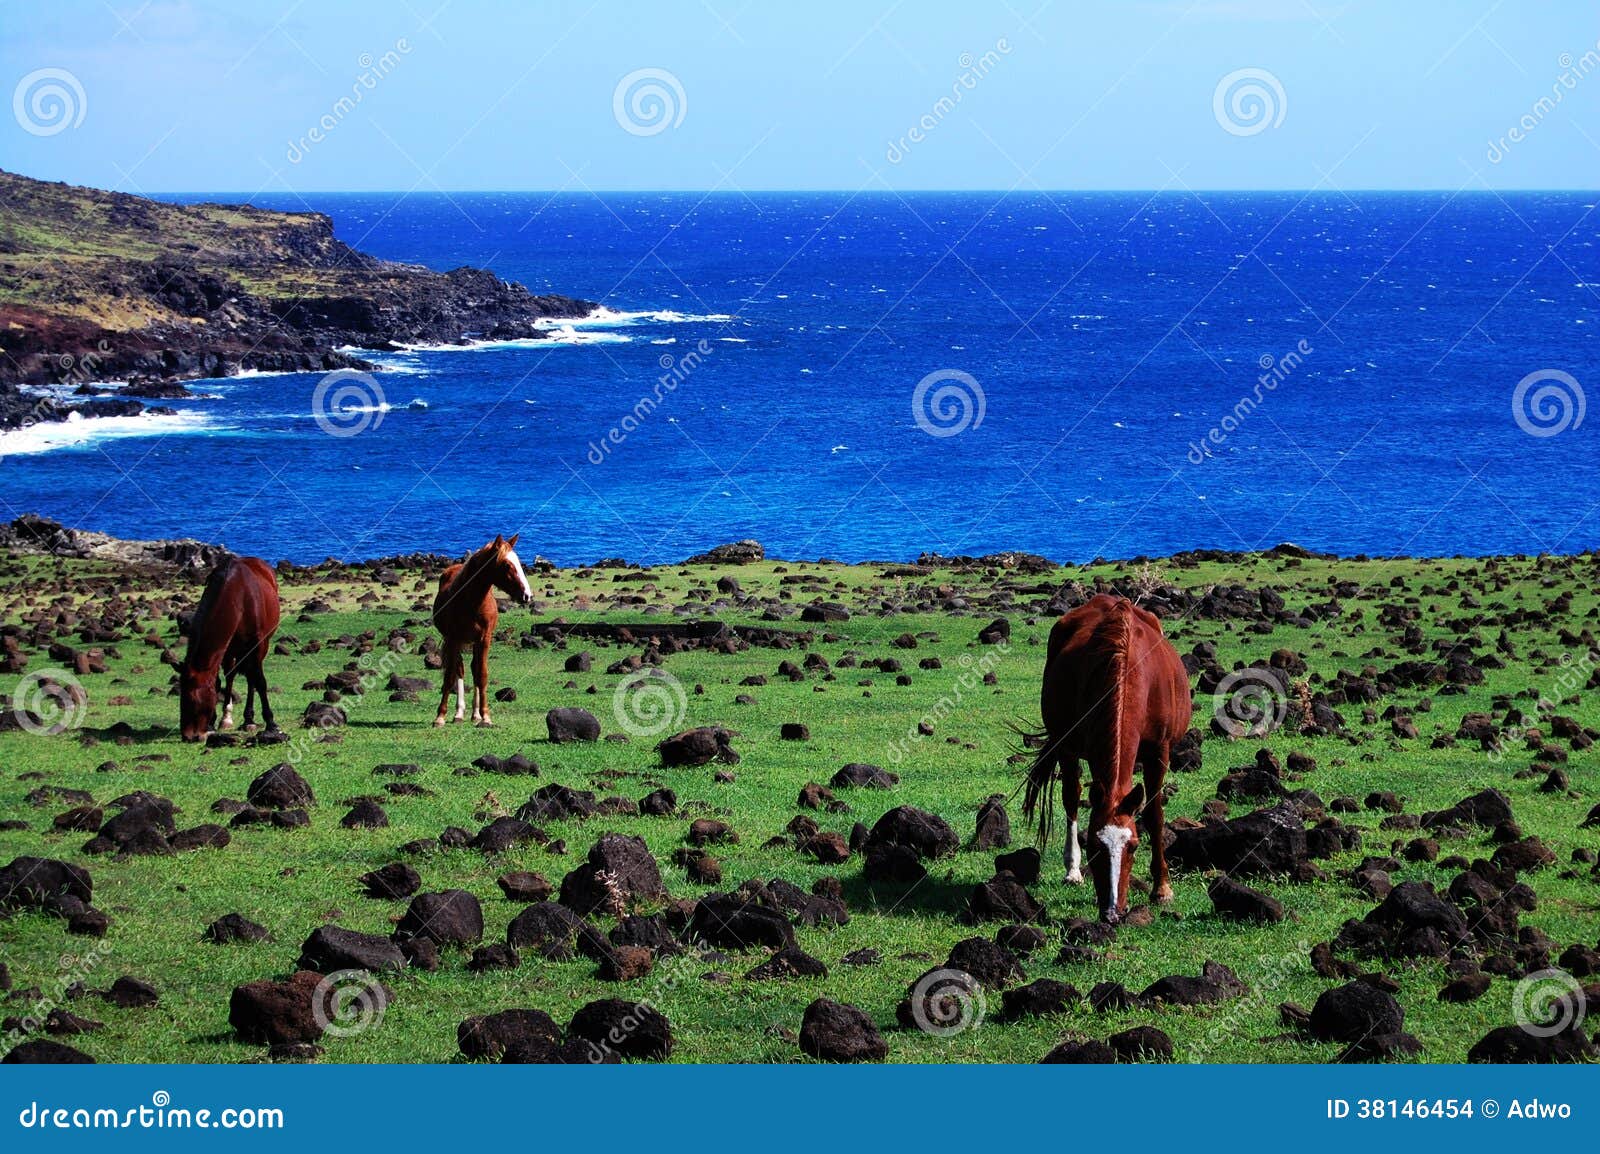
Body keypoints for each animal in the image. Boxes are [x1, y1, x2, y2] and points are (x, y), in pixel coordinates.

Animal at [178, 556, 281, 742]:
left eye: (191, 698)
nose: (187, 736)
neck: (238, 597)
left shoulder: (257, 646)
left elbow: (260, 682)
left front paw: (271, 723)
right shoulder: (224, 650)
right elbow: (219, 681)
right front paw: (215, 722)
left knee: (252, 678)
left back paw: (249, 720)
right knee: (233, 675)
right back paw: (228, 718)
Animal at [432, 534, 533, 727]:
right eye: (507, 564)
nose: (527, 596)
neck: (473, 601)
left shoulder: (485, 639)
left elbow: (482, 675)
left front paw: (485, 716)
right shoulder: (453, 638)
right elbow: (450, 676)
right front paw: (440, 716)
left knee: (474, 669)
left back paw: (475, 714)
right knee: (460, 670)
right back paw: (459, 713)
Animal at [1023, 594, 1192, 923]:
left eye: (1134, 846)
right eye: (1094, 846)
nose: (1113, 913)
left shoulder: (1160, 751)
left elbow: (1154, 814)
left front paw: (1162, 888)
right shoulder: (1081, 747)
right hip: (1067, 746)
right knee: (1071, 797)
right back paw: (1072, 871)